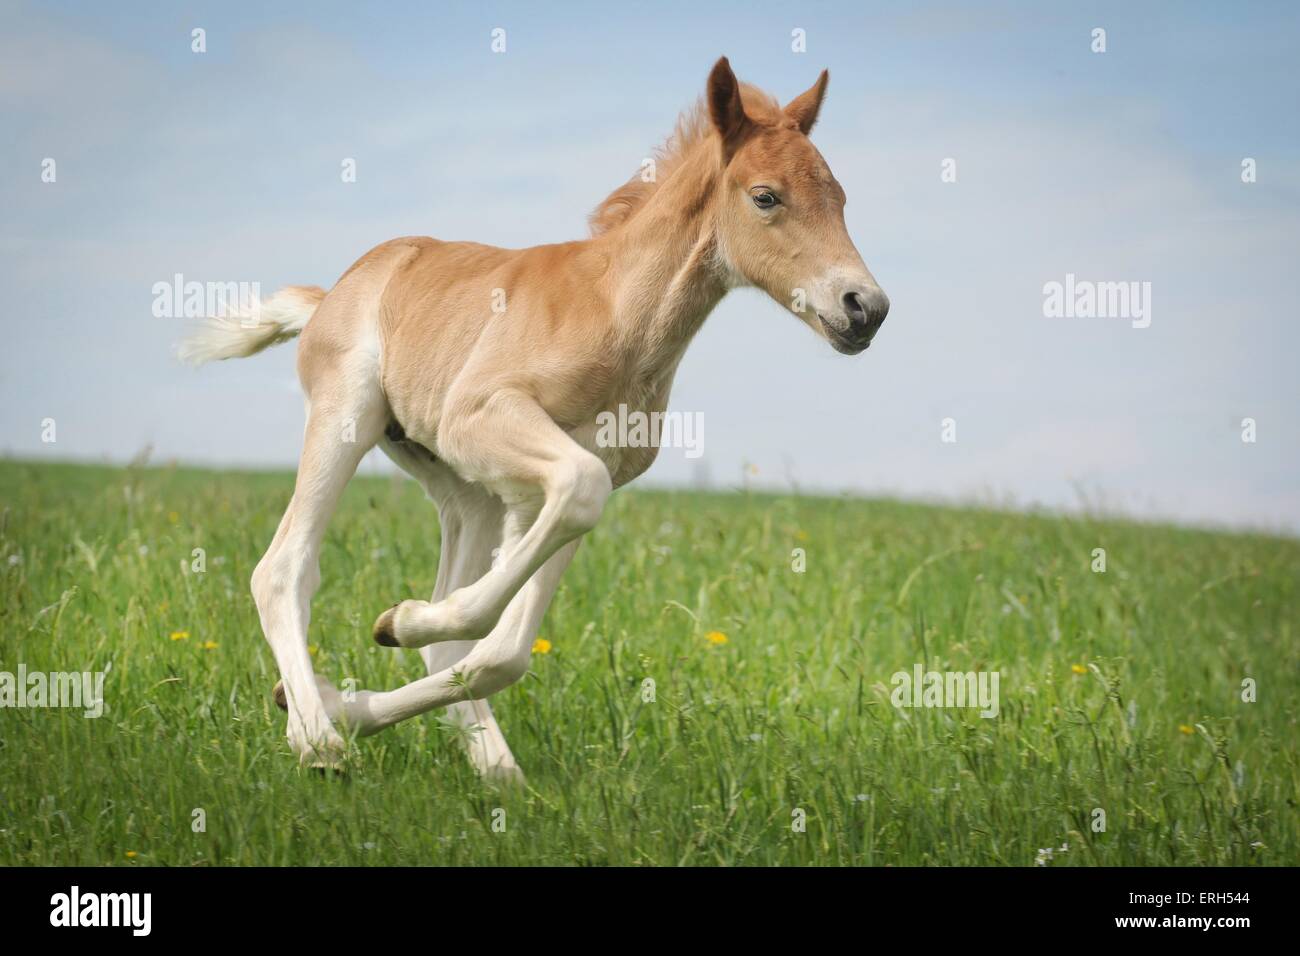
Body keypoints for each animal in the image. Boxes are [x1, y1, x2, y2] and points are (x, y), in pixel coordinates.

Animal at [180, 57, 889, 779]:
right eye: (766, 197)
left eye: (840, 198)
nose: (865, 307)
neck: (618, 317)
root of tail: (331, 294)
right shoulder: (485, 418)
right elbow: (563, 513)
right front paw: (392, 632)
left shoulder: (556, 486)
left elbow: (503, 651)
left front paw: (390, 637)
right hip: (347, 417)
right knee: (283, 569)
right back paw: (317, 739)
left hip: (467, 491)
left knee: (444, 634)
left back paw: (477, 765)